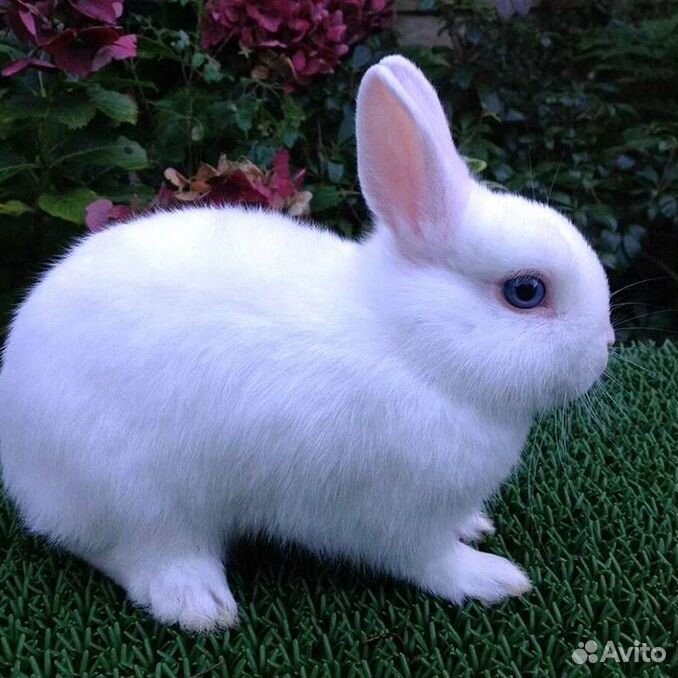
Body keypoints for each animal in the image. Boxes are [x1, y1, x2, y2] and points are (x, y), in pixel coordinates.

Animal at [0, 56, 614, 632]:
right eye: (526, 291)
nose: (606, 346)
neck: (411, 346)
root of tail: (22, 462)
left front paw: (477, 527)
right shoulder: (398, 516)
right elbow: (430, 561)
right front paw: (491, 579)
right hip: (138, 494)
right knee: (135, 553)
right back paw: (199, 603)